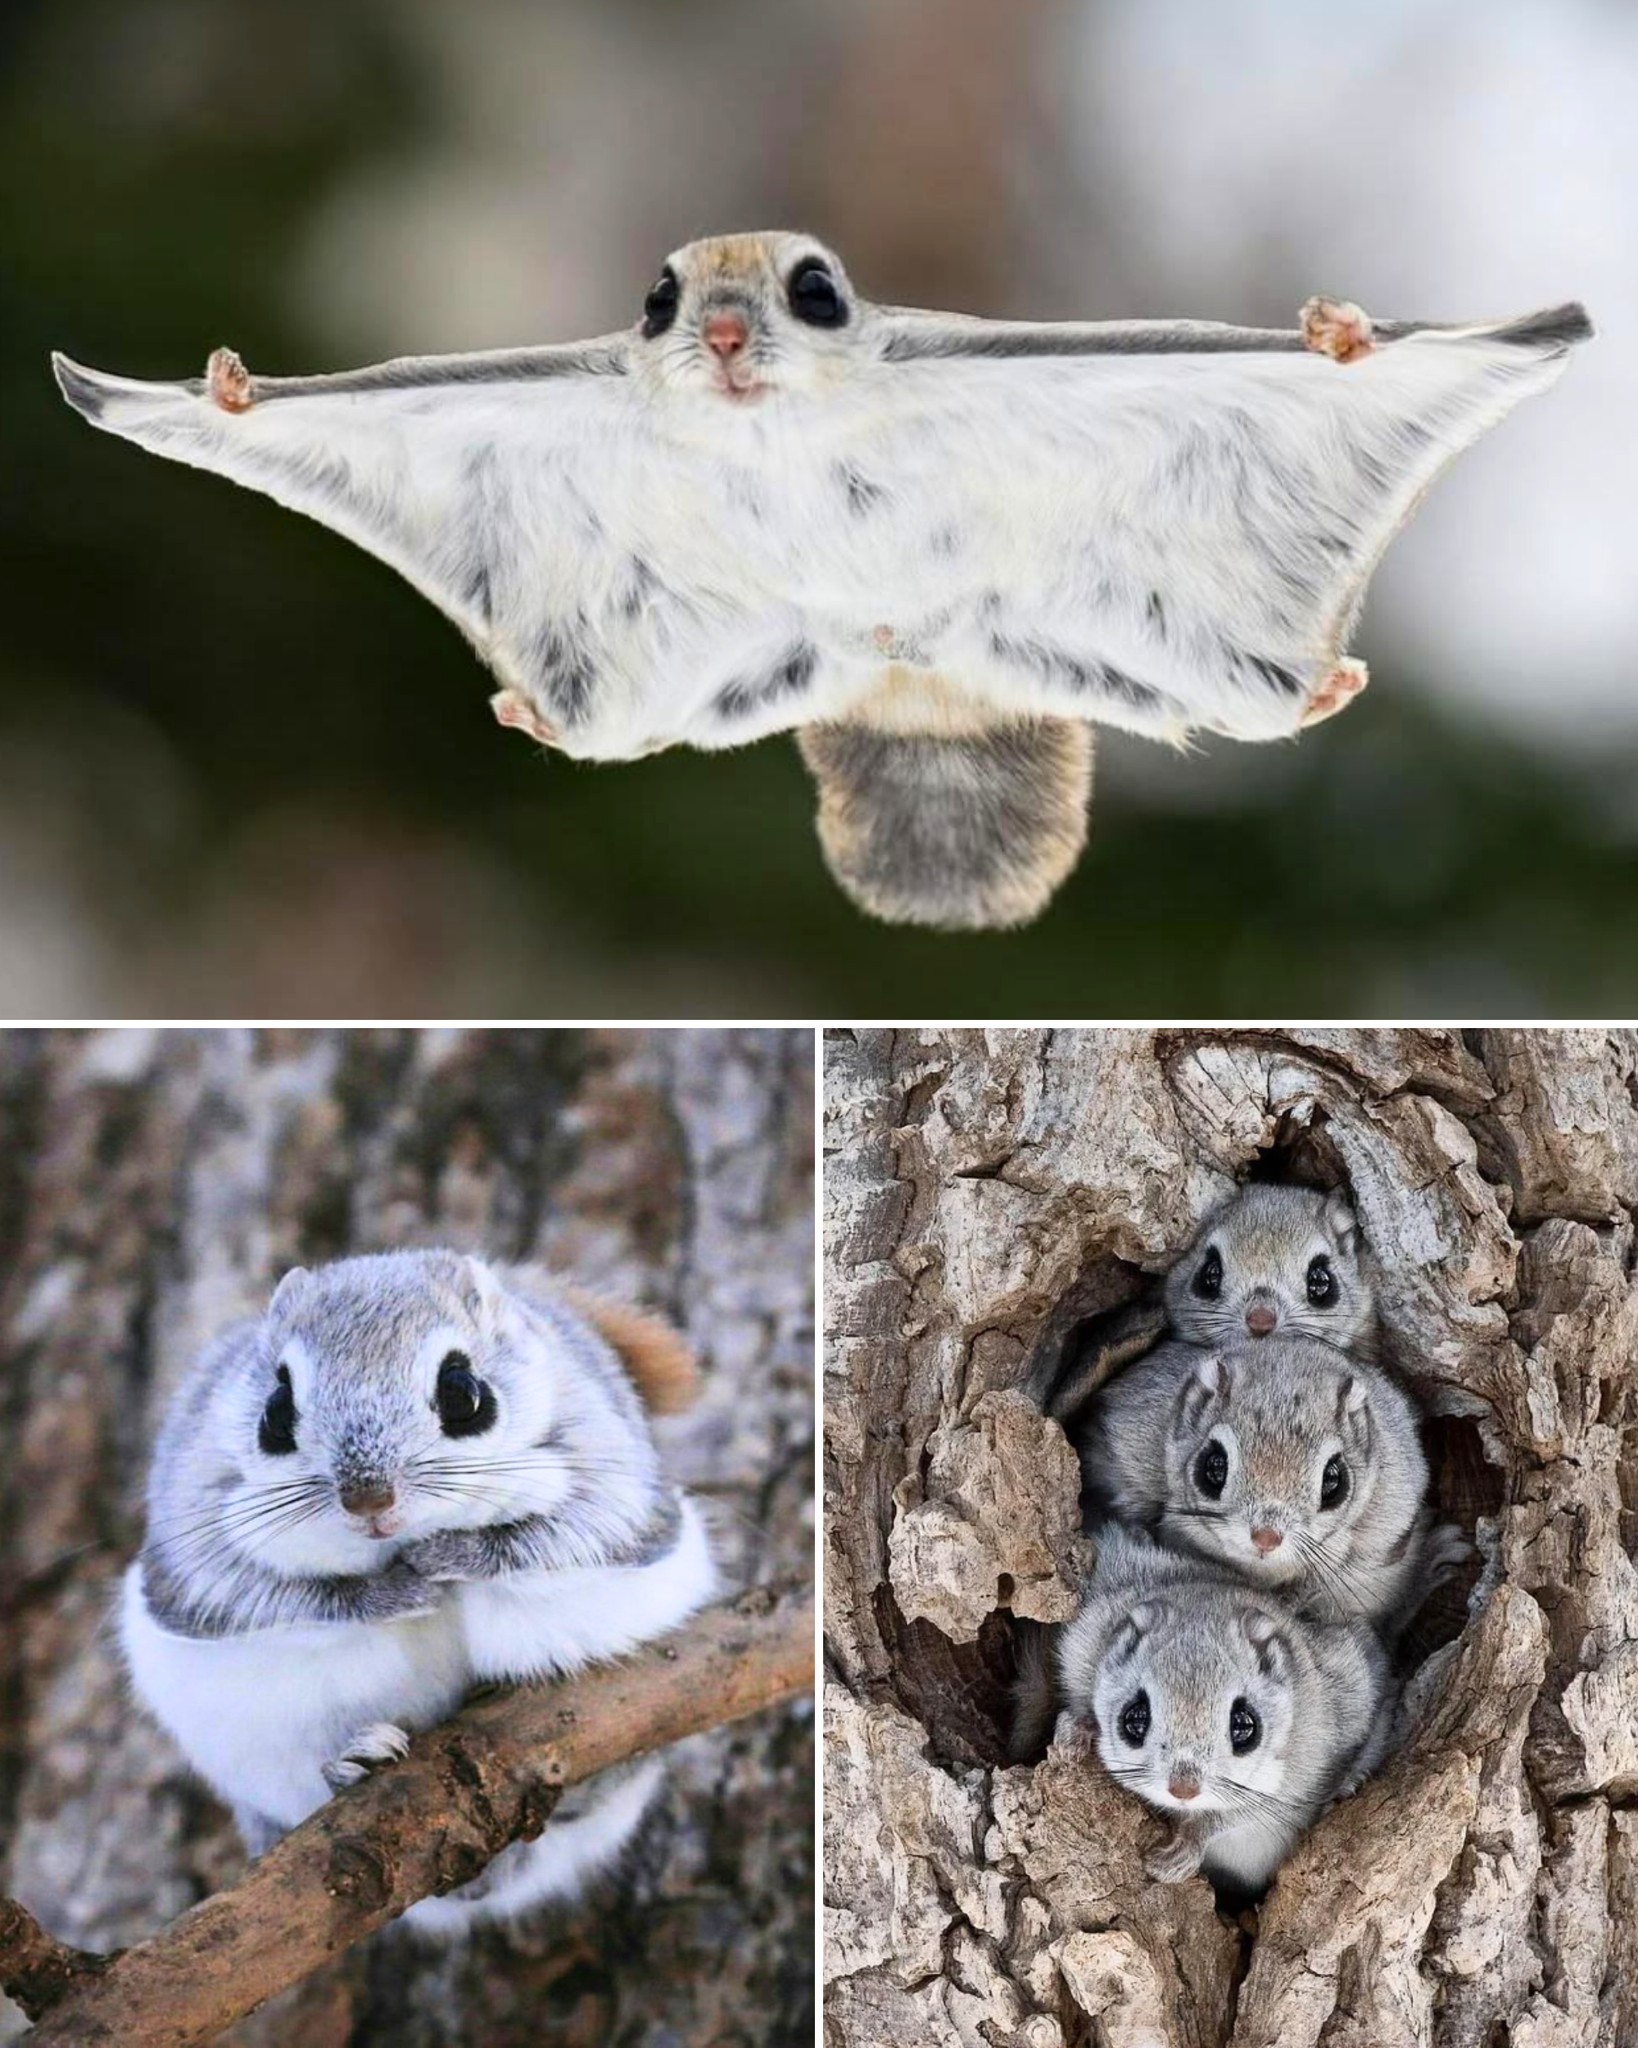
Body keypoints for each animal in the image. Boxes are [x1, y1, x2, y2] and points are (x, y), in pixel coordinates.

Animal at [121, 1249, 719, 1932]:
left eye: (464, 1394)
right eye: (274, 1411)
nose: (367, 1499)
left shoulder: (610, 1475)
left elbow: (554, 1539)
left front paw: (448, 1556)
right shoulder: (197, 1541)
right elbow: (278, 1596)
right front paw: (395, 1592)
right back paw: (355, 1765)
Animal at [1046, 1526, 1393, 1898]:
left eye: (1244, 1727)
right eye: (1134, 1719)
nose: (1183, 1790)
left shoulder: (1308, 1767)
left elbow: (1232, 1815)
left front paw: (1179, 1854)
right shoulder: (1087, 1636)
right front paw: (1073, 1734)